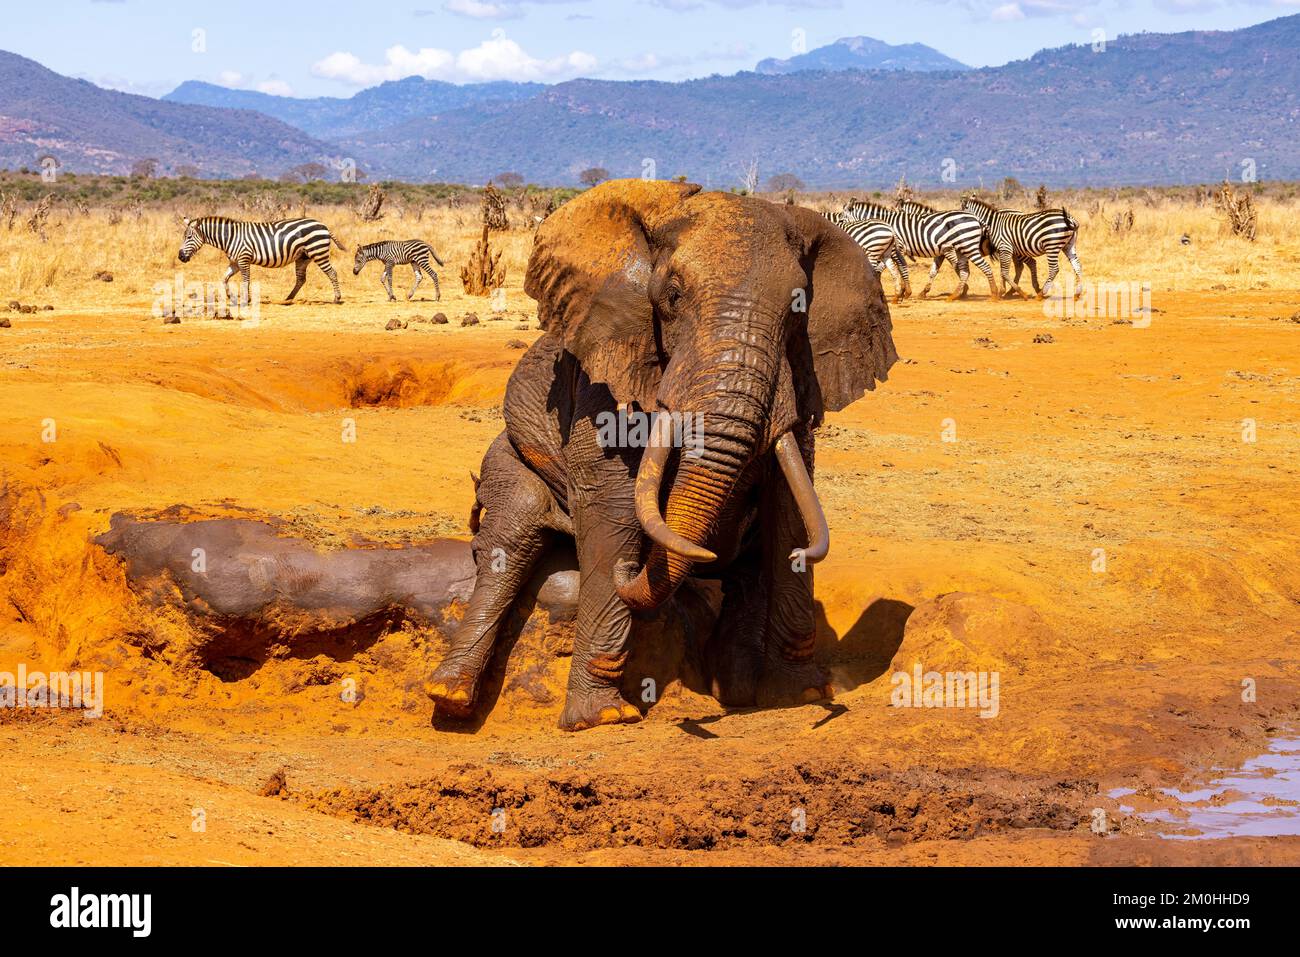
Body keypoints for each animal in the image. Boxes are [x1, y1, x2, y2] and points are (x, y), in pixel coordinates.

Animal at [425, 179, 898, 731]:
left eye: (798, 310)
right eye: (671, 297)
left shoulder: (803, 381)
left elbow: (790, 510)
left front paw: (797, 695)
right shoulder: (603, 380)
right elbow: (613, 508)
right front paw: (602, 719)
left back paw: (736, 690)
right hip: (507, 458)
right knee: (512, 535)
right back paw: (449, 695)